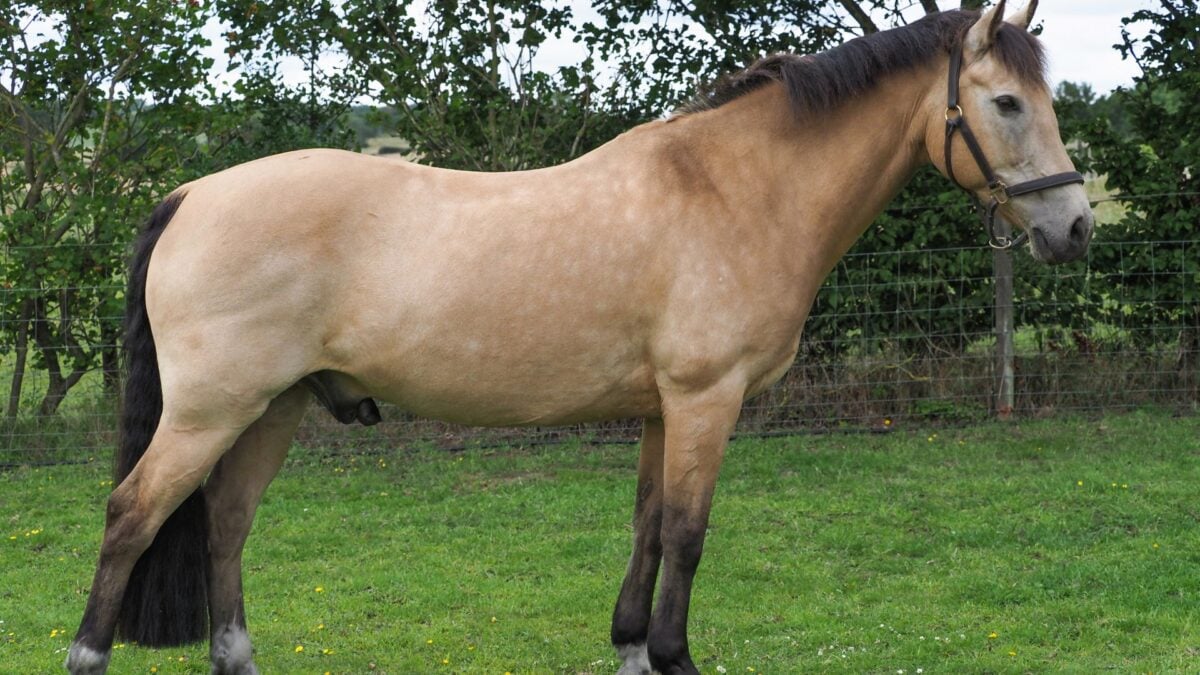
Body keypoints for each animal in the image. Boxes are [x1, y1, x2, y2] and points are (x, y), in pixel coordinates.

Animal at [67, 2, 1092, 673]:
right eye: (1006, 103)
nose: (1075, 227)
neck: (731, 189)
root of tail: (193, 193)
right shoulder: (706, 400)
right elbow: (686, 533)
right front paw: (673, 654)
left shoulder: (660, 409)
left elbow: (645, 525)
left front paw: (633, 645)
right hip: (209, 412)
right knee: (130, 516)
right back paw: (87, 652)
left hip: (270, 409)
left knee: (225, 524)